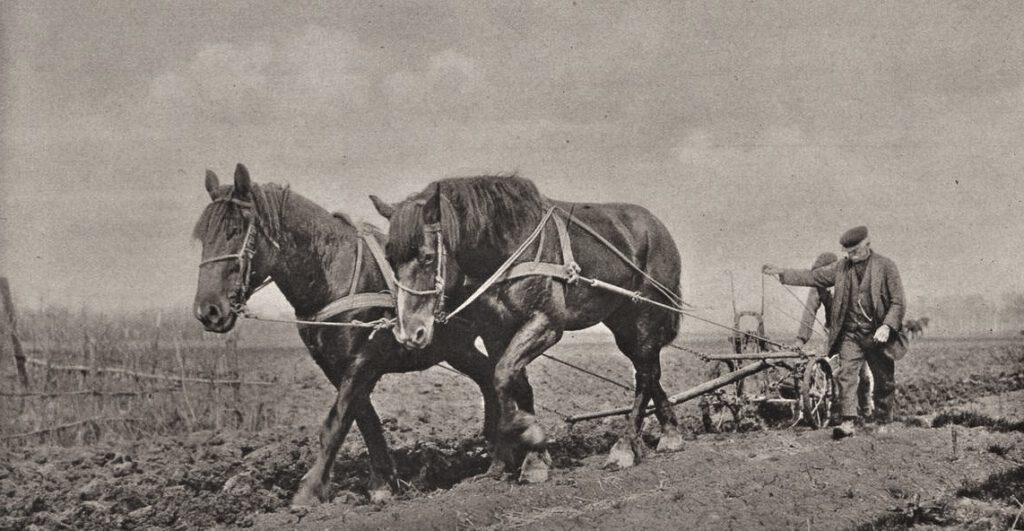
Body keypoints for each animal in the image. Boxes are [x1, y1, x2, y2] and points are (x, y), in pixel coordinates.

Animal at [192, 164, 501, 506]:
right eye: (203, 236)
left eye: (235, 230)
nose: (208, 310)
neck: (333, 275)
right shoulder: (335, 365)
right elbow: (365, 418)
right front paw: (384, 483)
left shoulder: (364, 358)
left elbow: (336, 422)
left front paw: (308, 492)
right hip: (456, 349)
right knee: (488, 375)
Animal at [370, 174, 686, 482]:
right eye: (390, 260)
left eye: (427, 256)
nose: (409, 333)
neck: (508, 249)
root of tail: (657, 227)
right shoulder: (496, 332)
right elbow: (513, 382)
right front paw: (513, 460)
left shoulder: (545, 323)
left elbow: (502, 375)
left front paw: (528, 436)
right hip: (622, 323)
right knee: (649, 371)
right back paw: (671, 434)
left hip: (645, 315)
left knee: (645, 375)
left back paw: (624, 447)